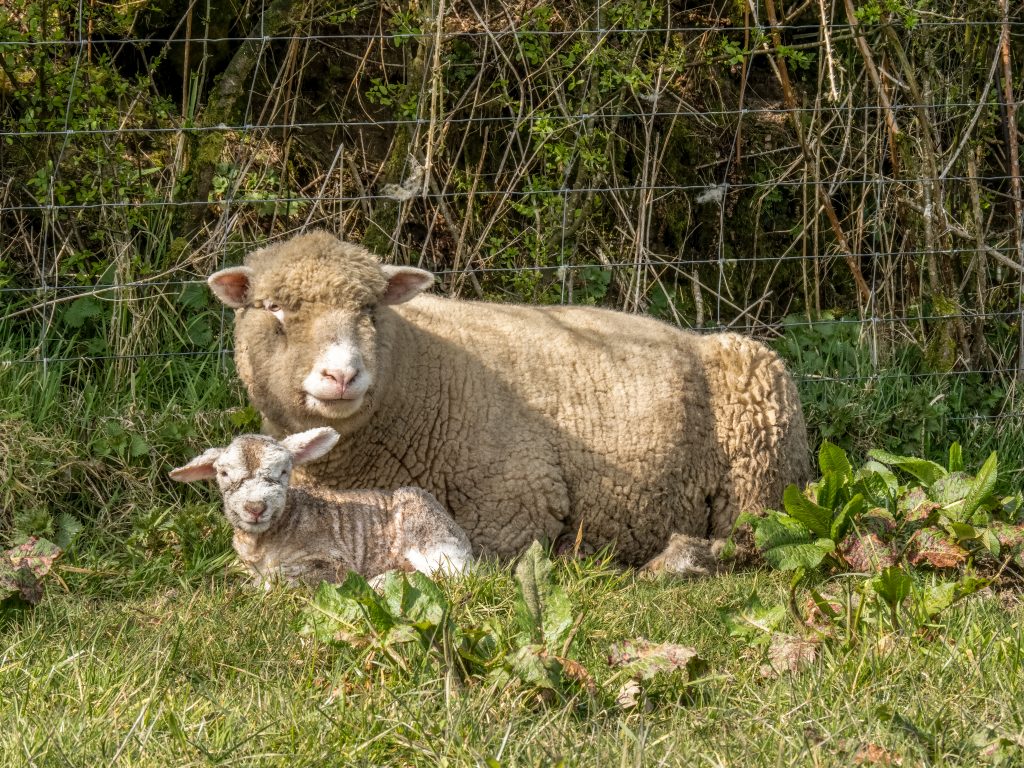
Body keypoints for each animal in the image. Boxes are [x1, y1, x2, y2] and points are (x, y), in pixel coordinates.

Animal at [168, 427, 473, 586]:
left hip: (431, 539)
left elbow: (282, 580)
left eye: (284, 472)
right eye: (223, 474)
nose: (255, 507)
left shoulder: (331, 559)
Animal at [205, 231, 810, 573]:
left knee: (752, 541)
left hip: (760, 474)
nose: (341, 374)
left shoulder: (513, 511)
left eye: (371, 308)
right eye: (274, 308)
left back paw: (670, 561)